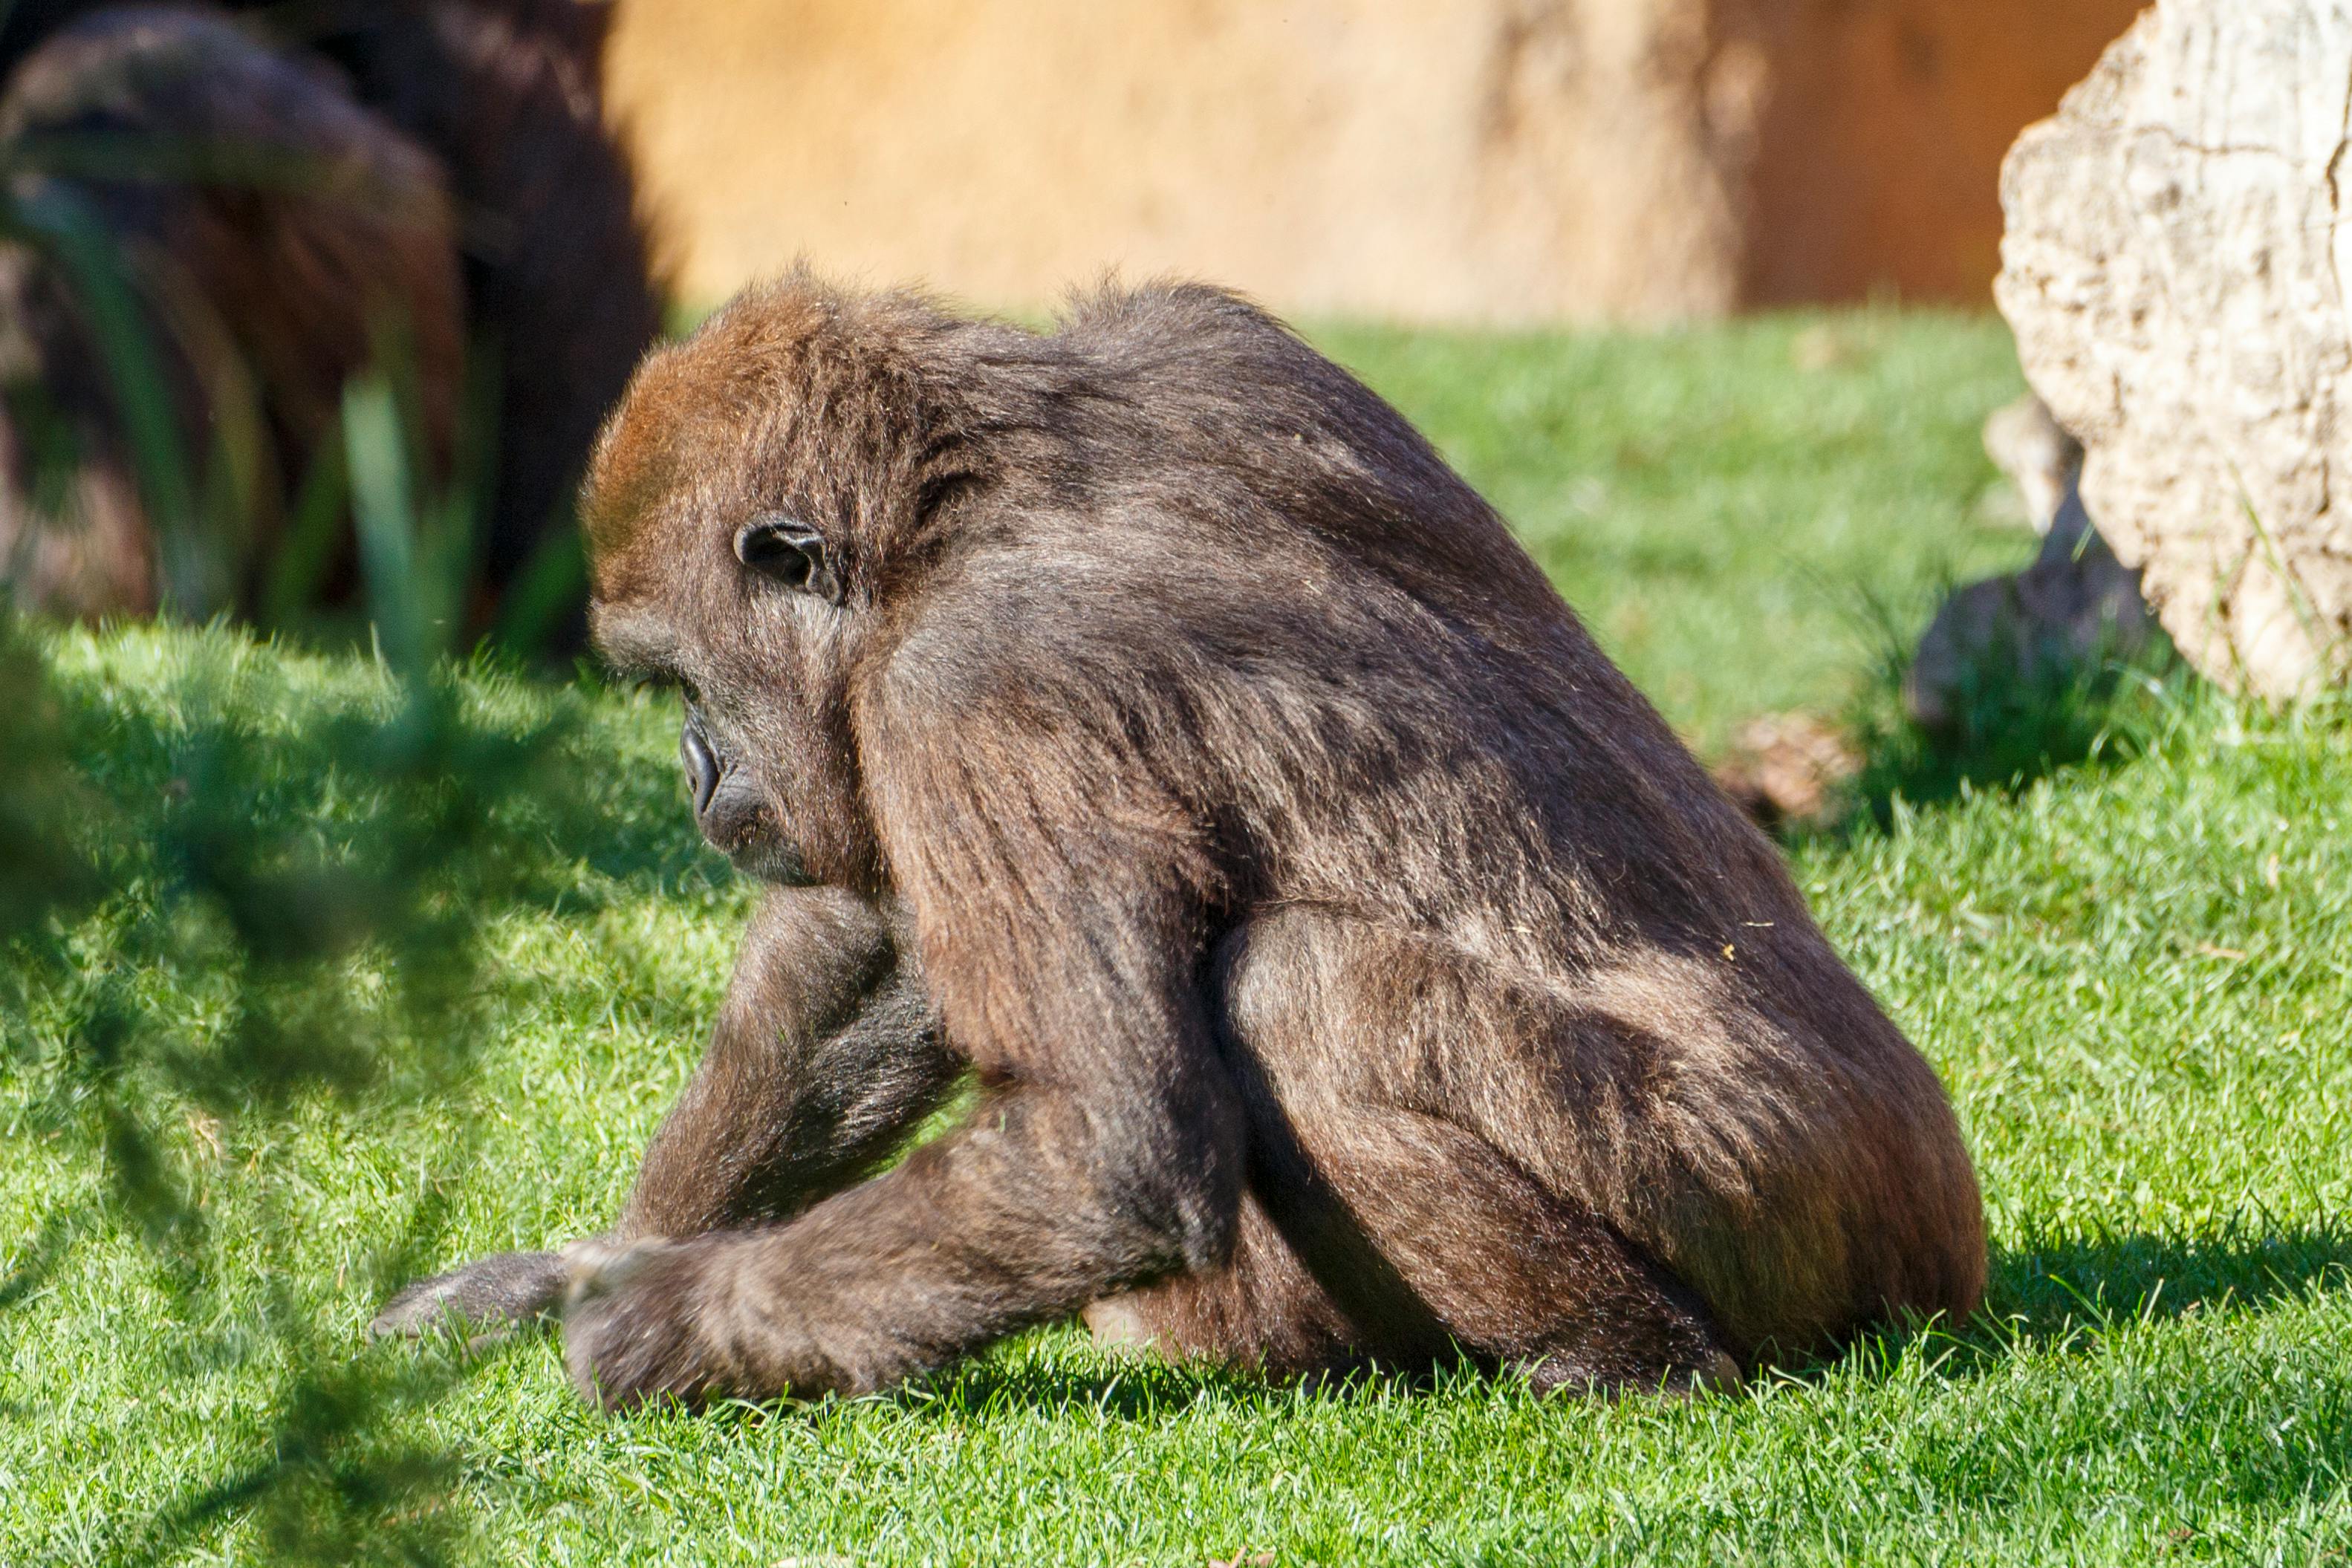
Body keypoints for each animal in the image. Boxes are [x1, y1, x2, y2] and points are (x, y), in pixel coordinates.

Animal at [374, 272, 1987, 1409]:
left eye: (679, 681)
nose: (696, 767)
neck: (956, 504)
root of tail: (1942, 1235)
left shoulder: (969, 680)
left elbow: (1100, 1152)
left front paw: (647, 1326)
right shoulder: (1218, 337)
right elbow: (887, 951)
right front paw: (587, 1269)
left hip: (1774, 1179)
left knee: (1291, 994)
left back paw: (1621, 1357)